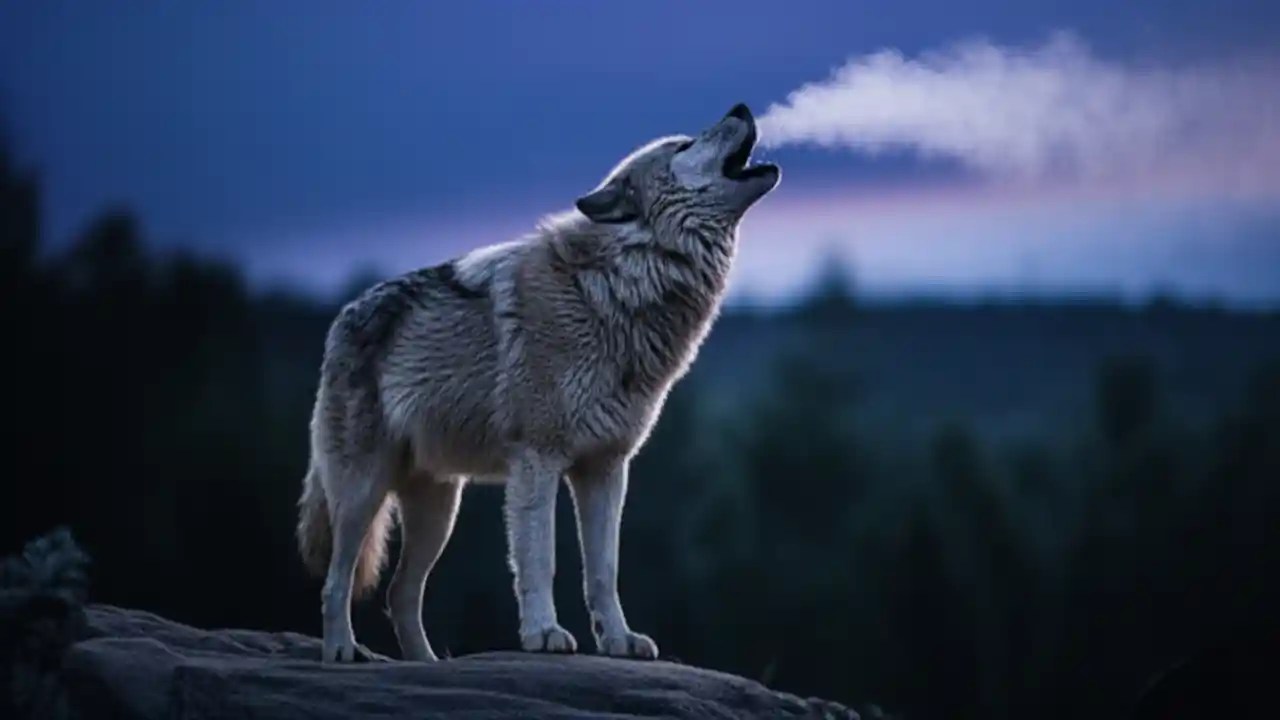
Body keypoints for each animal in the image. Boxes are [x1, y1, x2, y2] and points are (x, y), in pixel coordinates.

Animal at [296, 103, 780, 663]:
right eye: (683, 146)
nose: (742, 107)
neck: (622, 285)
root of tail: (342, 317)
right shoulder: (538, 461)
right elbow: (541, 561)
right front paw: (544, 634)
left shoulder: (607, 469)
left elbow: (604, 571)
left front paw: (618, 640)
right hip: (363, 492)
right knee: (336, 582)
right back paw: (341, 652)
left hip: (440, 510)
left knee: (400, 593)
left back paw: (426, 664)